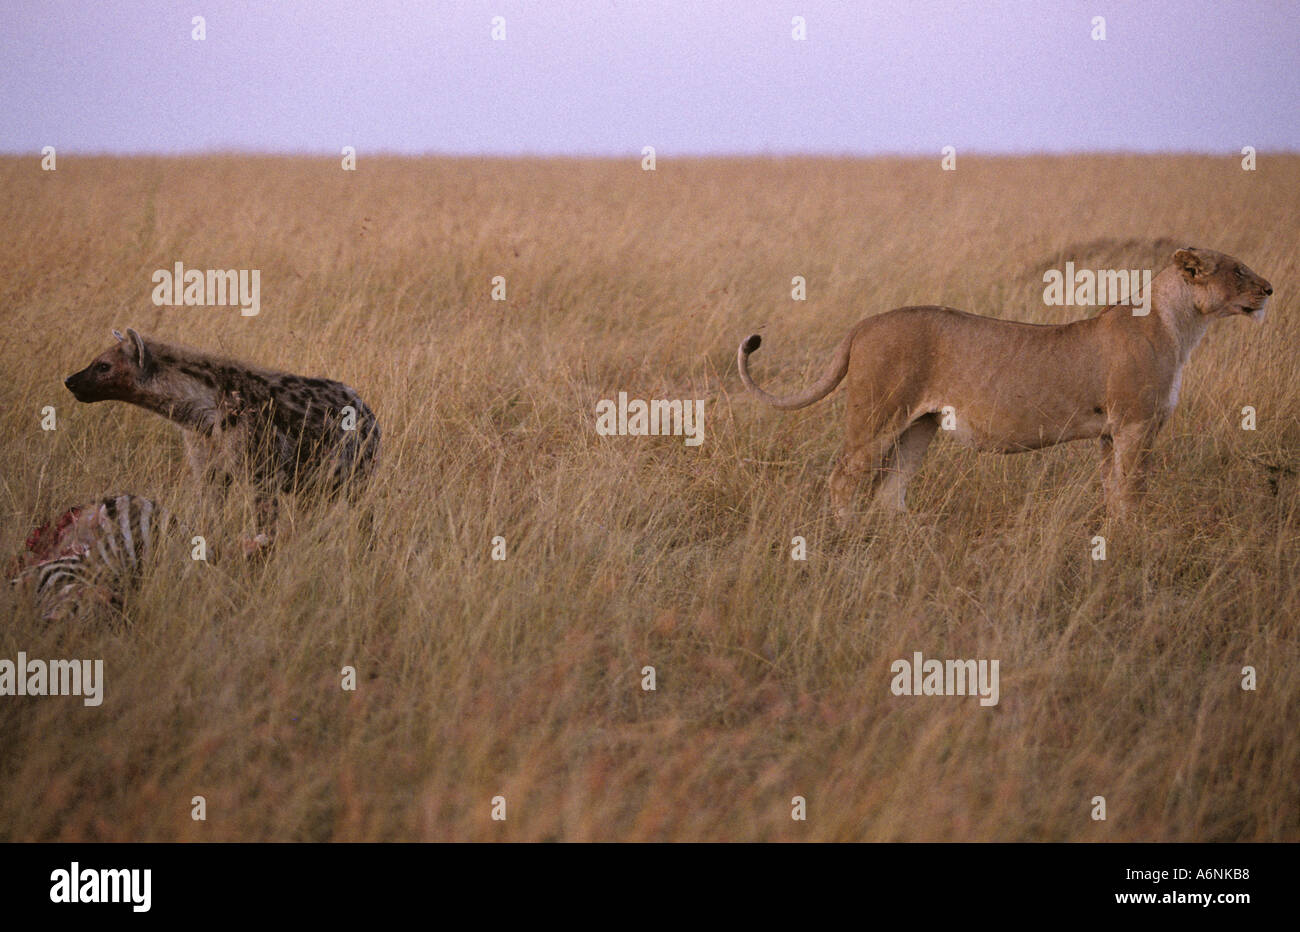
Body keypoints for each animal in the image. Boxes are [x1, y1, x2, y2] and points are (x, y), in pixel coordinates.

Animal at [737, 247, 1272, 524]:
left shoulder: (1110, 432)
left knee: (890, 490)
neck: (1181, 326)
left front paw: (1112, 535)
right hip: (876, 417)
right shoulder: (1136, 426)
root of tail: (863, 324)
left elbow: (1112, 490)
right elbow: (1133, 492)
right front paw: (1133, 540)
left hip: (919, 426)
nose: (1270, 289)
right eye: (1238, 270)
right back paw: (848, 536)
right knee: (843, 479)